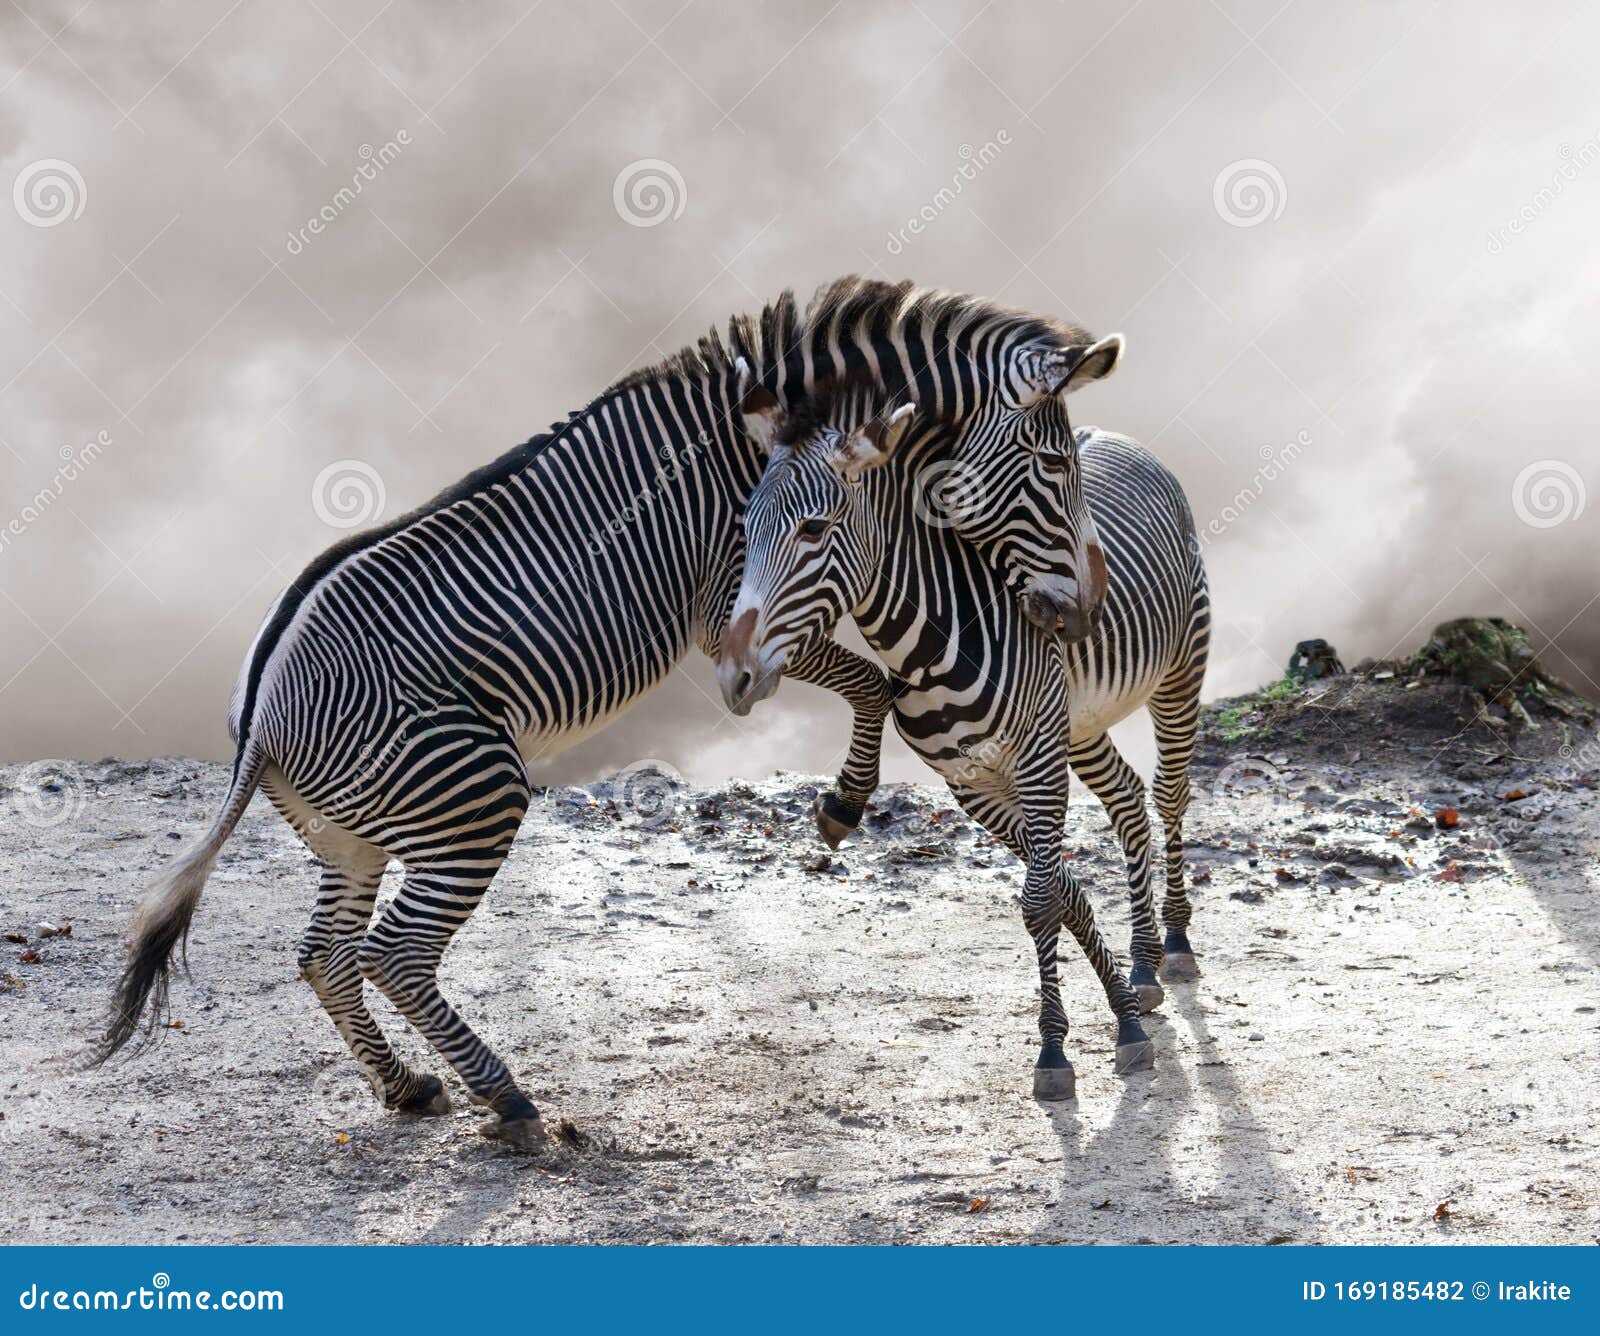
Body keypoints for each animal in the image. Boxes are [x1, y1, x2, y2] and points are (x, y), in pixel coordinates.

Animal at [718, 380, 1155, 1098]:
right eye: (746, 531)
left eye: (813, 529)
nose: (732, 678)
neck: (941, 639)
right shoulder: (968, 782)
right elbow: (1062, 889)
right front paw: (1121, 1011)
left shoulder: (1039, 757)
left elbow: (1041, 900)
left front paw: (1057, 1049)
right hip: (1080, 730)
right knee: (1125, 796)